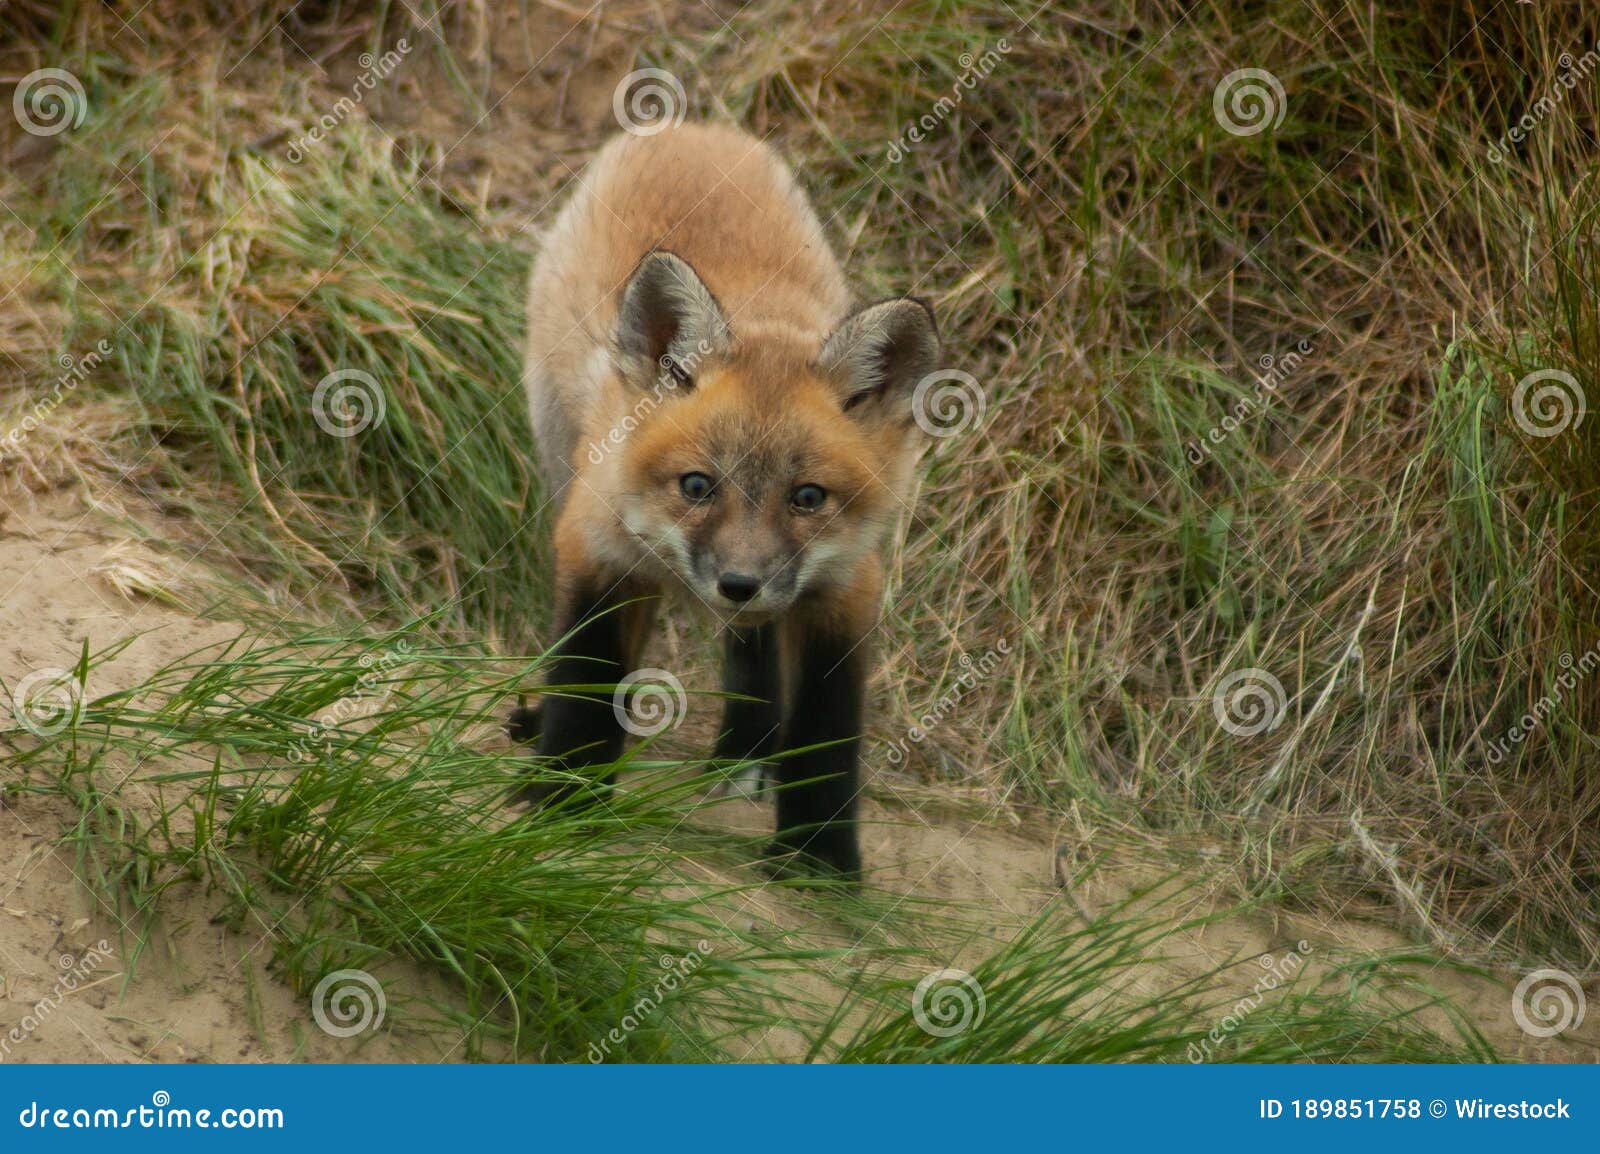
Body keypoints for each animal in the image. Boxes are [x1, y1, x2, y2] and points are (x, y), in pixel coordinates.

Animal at [509, 122, 939, 880]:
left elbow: (829, 733)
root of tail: (692, 126)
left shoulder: (844, 586)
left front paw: (819, 857)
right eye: (696, 486)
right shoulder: (597, 545)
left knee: (753, 647)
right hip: (560, 458)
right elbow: (586, 672)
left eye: (808, 496)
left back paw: (746, 751)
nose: (739, 583)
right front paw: (563, 792)